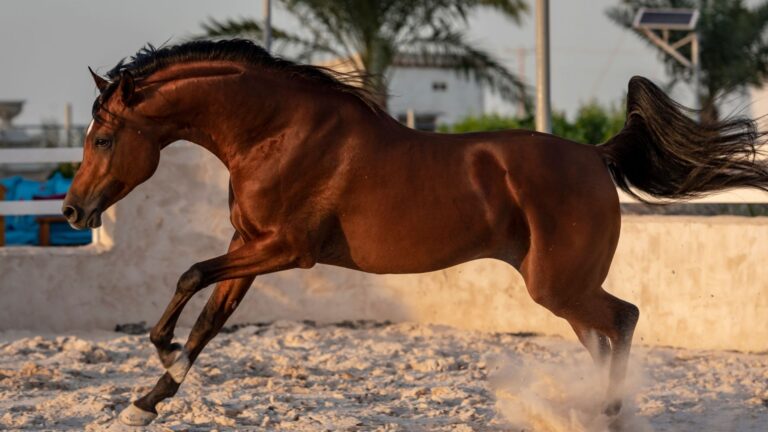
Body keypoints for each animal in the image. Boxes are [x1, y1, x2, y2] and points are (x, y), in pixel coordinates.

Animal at [63, 39, 768, 427]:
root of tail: (596, 154)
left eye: (103, 138)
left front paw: (160, 354)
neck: (276, 132)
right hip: (561, 288)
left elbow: (189, 276)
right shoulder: (249, 249)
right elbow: (208, 319)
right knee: (604, 334)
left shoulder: (285, 251)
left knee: (622, 318)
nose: (72, 211)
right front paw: (147, 400)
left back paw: (610, 413)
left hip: (558, 285)